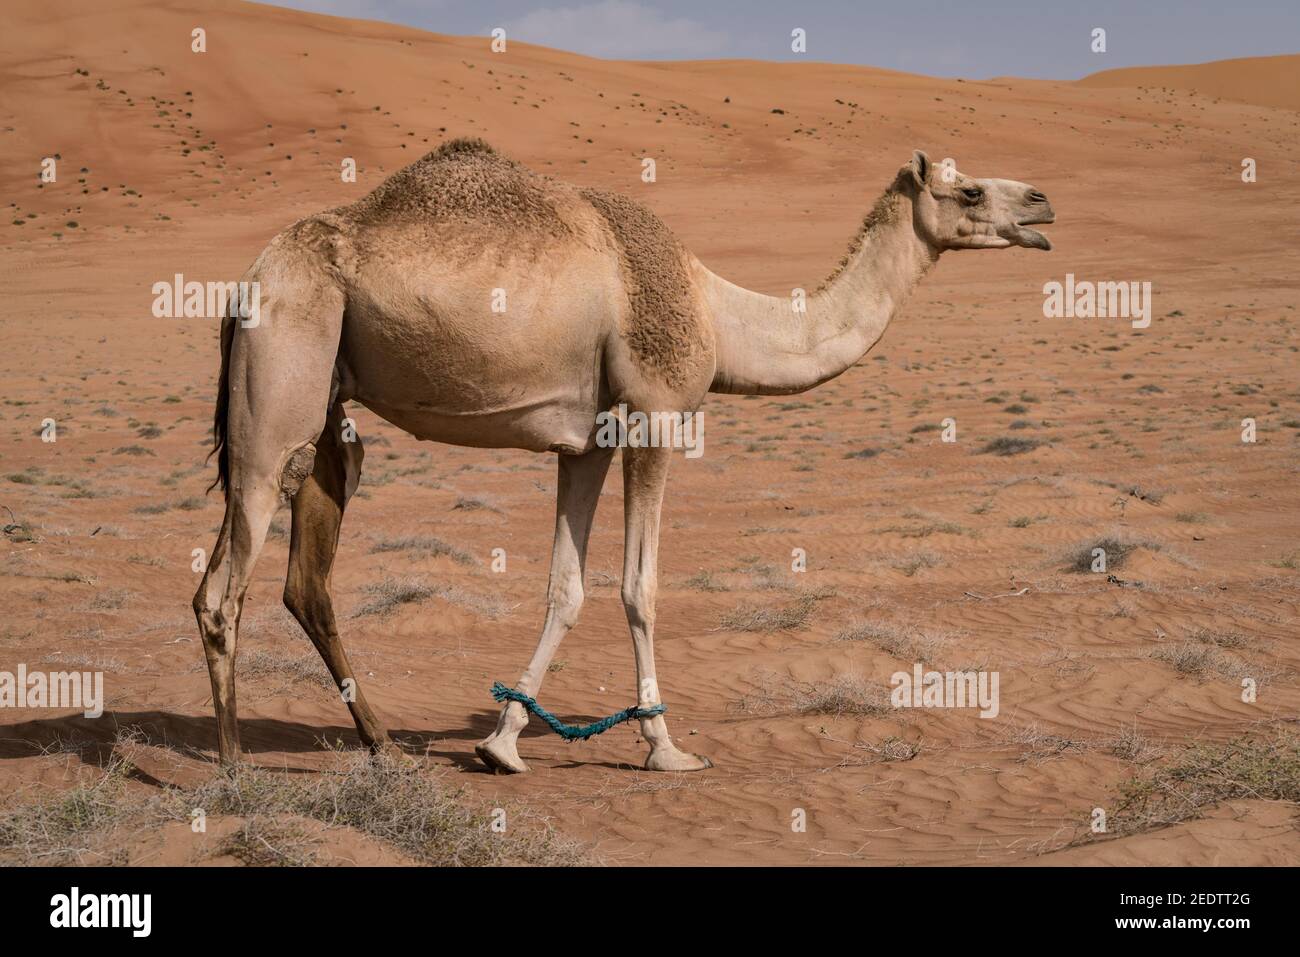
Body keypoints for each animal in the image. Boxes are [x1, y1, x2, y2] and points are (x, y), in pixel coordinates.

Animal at [194, 138, 1054, 773]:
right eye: (971, 192)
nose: (1044, 204)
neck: (718, 312)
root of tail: (246, 281)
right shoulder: (655, 414)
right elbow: (639, 588)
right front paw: (665, 746)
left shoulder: (587, 440)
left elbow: (565, 588)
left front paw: (502, 742)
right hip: (283, 372)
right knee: (224, 588)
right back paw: (234, 765)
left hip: (328, 411)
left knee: (304, 578)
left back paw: (381, 747)